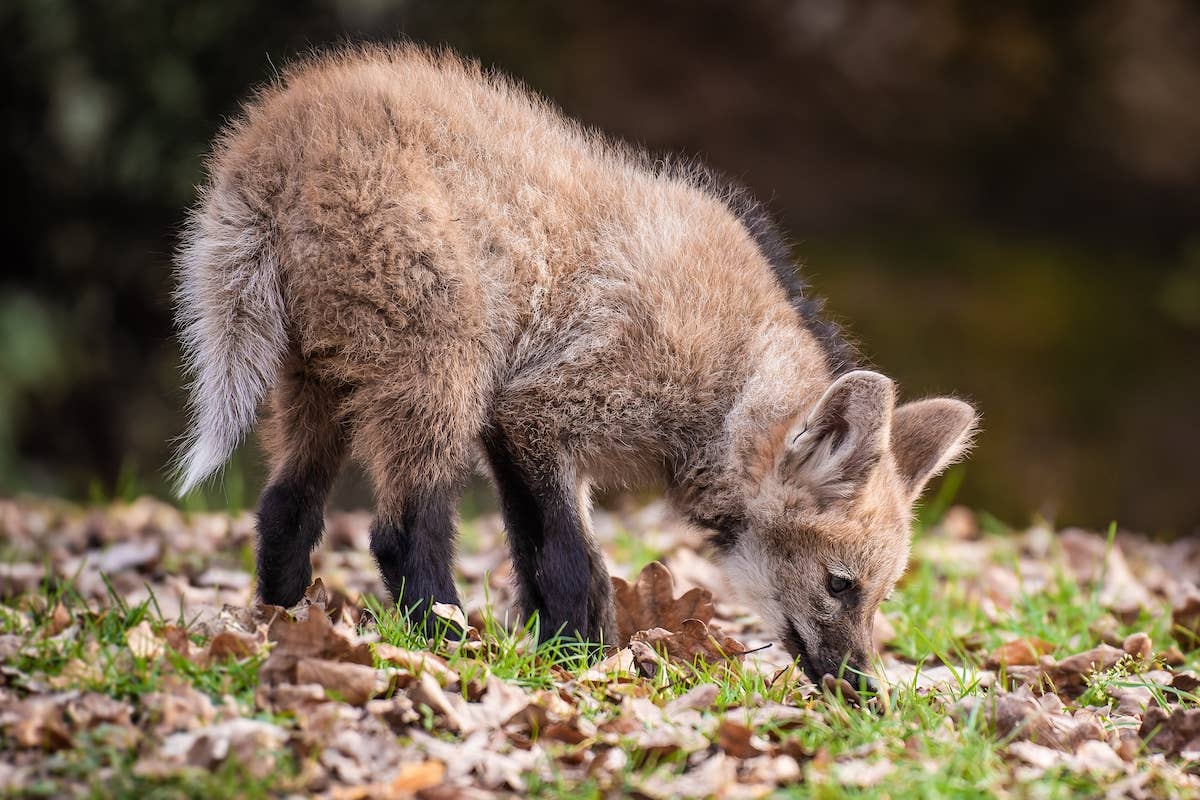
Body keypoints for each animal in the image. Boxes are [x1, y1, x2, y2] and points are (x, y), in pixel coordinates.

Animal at [173, 45, 977, 687]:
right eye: (841, 586)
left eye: (879, 595)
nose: (866, 690)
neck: (726, 383)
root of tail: (277, 132)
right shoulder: (538, 413)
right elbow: (574, 564)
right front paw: (588, 664)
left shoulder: (510, 427)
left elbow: (535, 561)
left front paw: (557, 654)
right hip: (441, 372)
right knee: (399, 532)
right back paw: (442, 647)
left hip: (328, 381)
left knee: (285, 509)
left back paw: (281, 626)